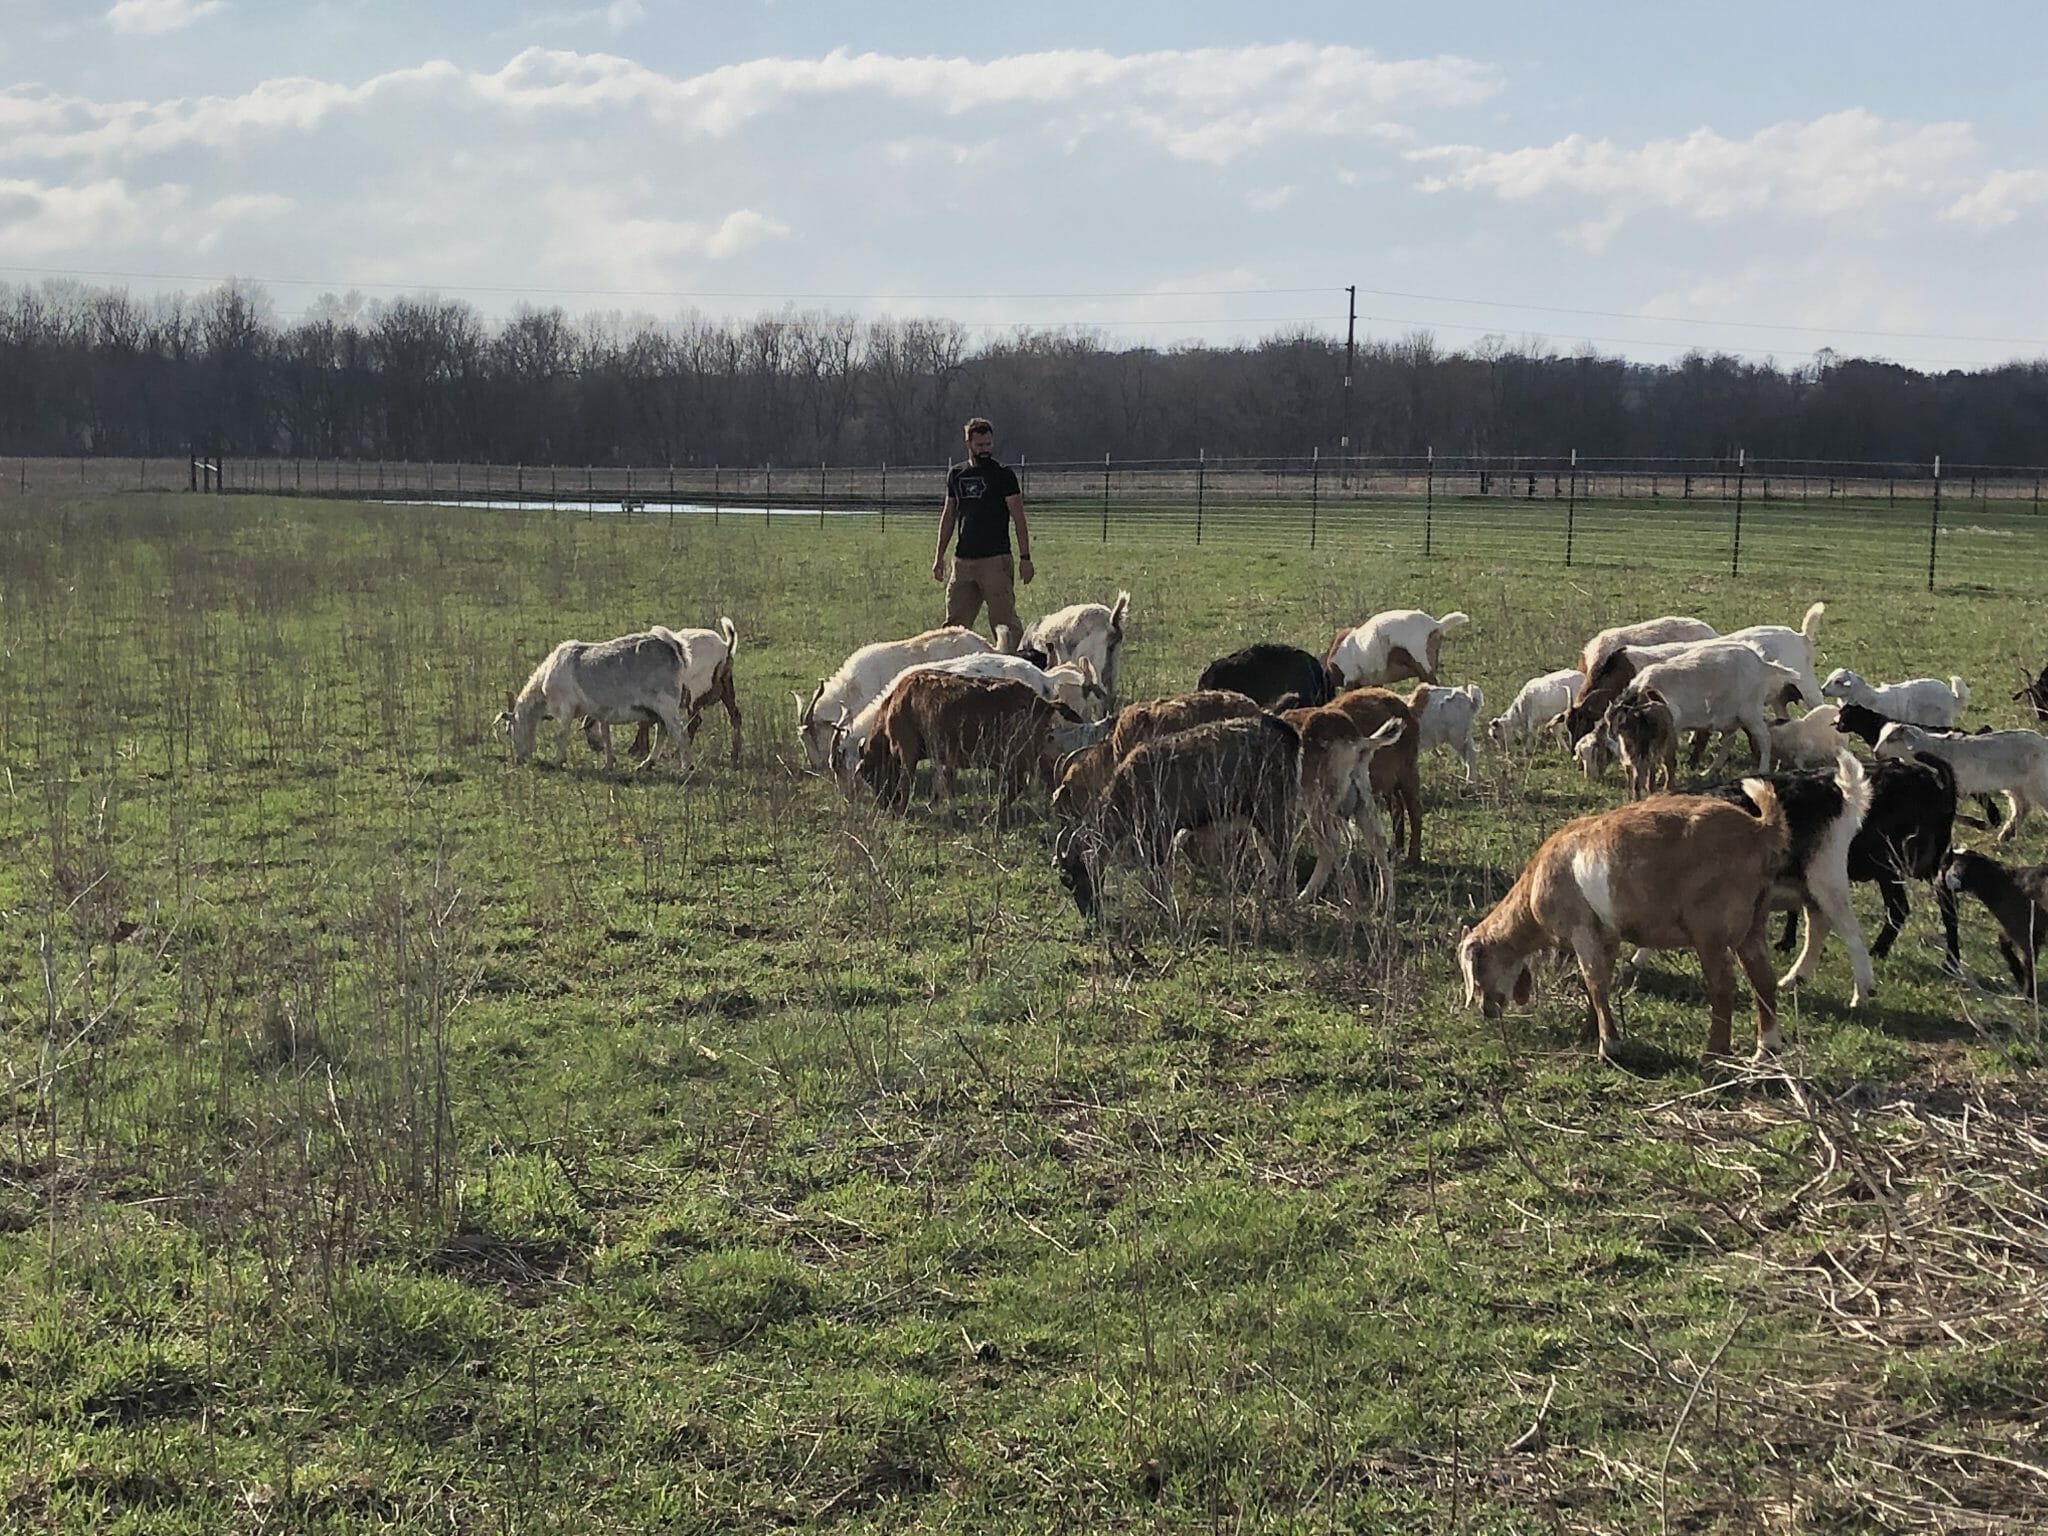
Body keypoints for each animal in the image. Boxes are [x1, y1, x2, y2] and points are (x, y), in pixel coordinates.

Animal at [499, 628, 690, 770]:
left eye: (508, 731)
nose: (519, 760)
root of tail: (671, 645)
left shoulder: (566, 707)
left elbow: (562, 734)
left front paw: (557, 762)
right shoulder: (601, 711)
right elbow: (605, 734)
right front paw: (608, 763)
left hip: (665, 703)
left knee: (679, 731)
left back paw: (687, 767)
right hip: (656, 709)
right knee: (663, 730)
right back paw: (647, 764)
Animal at [854, 672, 1073, 815]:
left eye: (869, 775)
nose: (883, 805)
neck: (895, 703)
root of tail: (1041, 701)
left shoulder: (906, 749)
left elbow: (907, 781)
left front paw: (901, 809)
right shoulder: (940, 757)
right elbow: (942, 779)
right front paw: (934, 803)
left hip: (1012, 757)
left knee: (1017, 784)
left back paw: (995, 813)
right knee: (1047, 776)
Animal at [1458, 784, 1789, 1058]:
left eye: (1478, 968)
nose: (1486, 1010)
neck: (1533, 890)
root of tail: (1760, 830)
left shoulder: (1581, 929)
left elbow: (1594, 981)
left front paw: (1609, 1047)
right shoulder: (1607, 934)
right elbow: (1599, 981)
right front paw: (1589, 1033)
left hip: (1711, 927)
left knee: (1722, 987)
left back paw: (1712, 1055)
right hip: (1754, 923)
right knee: (1763, 979)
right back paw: (1766, 1051)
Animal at [1875, 722, 2048, 842]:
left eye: (1892, 739)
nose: (1876, 753)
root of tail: (2043, 742)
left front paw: (1977, 823)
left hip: (2037, 782)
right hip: (2016, 785)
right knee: (2022, 807)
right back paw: (2005, 835)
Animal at [1940, 849, 2048, 997]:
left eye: (1947, 863)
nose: (1942, 885)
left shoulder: (2023, 931)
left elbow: (2028, 965)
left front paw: (2028, 994)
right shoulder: (2014, 928)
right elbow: (2004, 946)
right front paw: (2019, 976)